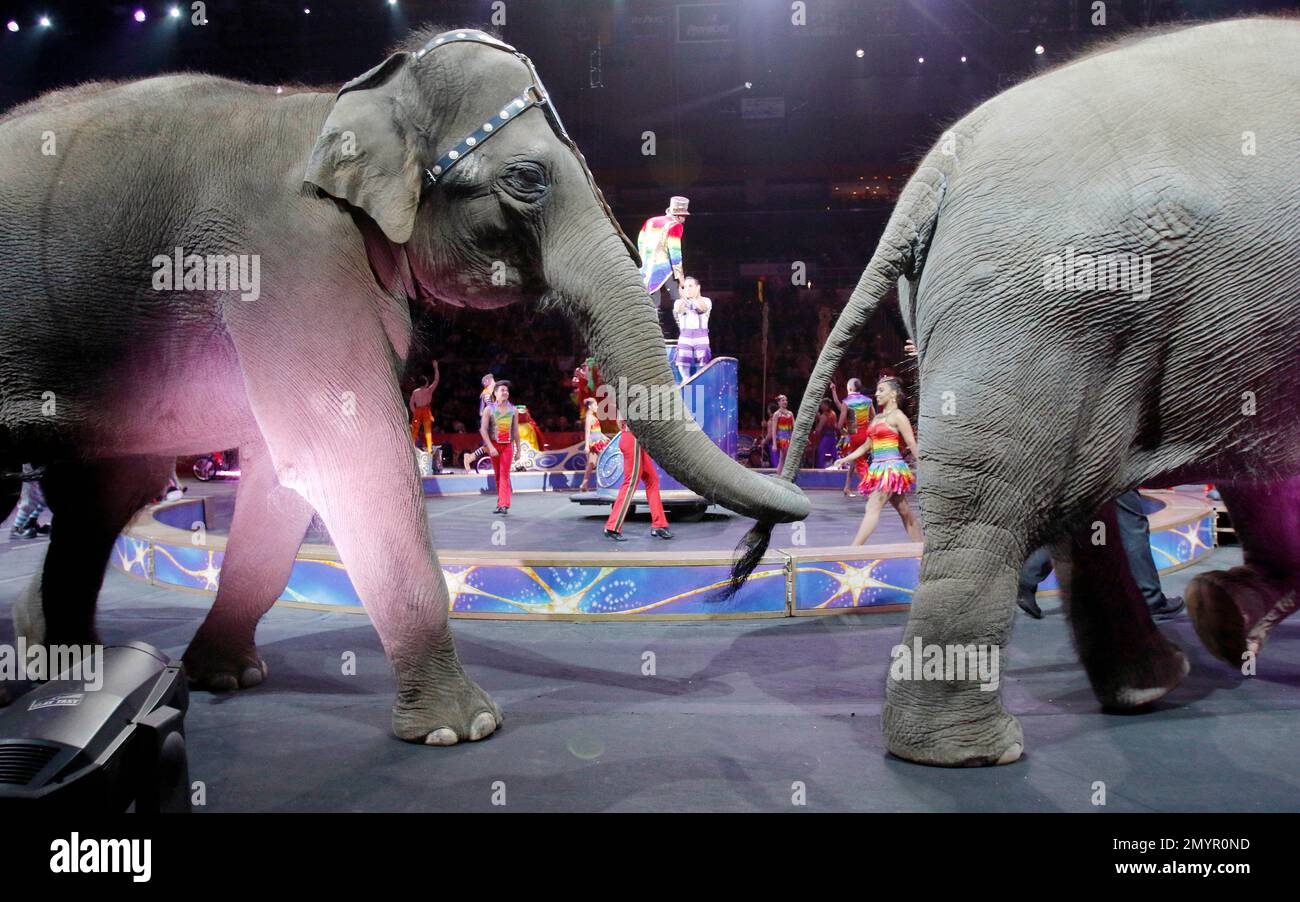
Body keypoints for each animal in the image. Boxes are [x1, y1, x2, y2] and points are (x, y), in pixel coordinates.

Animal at [0, 26, 809, 745]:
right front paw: (462, 727)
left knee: (106, 492)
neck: (351, 98)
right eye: (527, 177)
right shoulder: (284, 255)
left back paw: (61, 658)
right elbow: (344, 451)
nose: (746, 563)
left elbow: (286, 473)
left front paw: (227, 677)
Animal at [736, 18, 1300, 766]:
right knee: (996, 508)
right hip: (1047, 307)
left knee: (1061, 502)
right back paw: (975, 751)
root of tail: (940, 168)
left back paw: (1153, 679)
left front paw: (1229, 620)